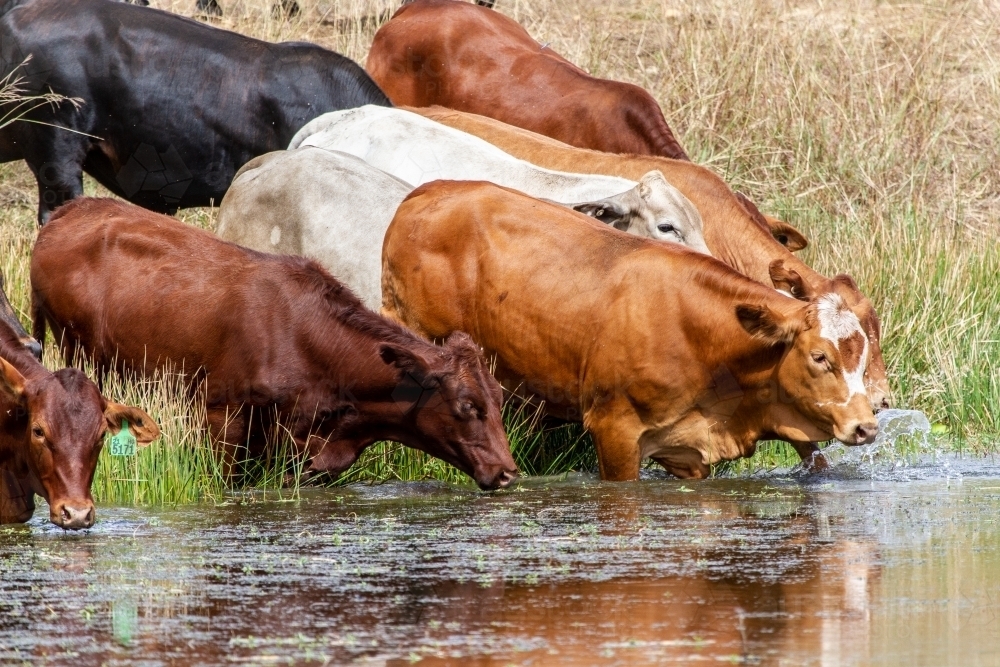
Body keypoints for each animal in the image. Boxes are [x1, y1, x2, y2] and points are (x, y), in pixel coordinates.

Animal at [30, 198, 517, 490]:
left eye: (498, 398)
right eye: (468, 405)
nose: (508, 472)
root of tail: (71, 209)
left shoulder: (306, 456)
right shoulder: (221, 417)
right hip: (77, 348)